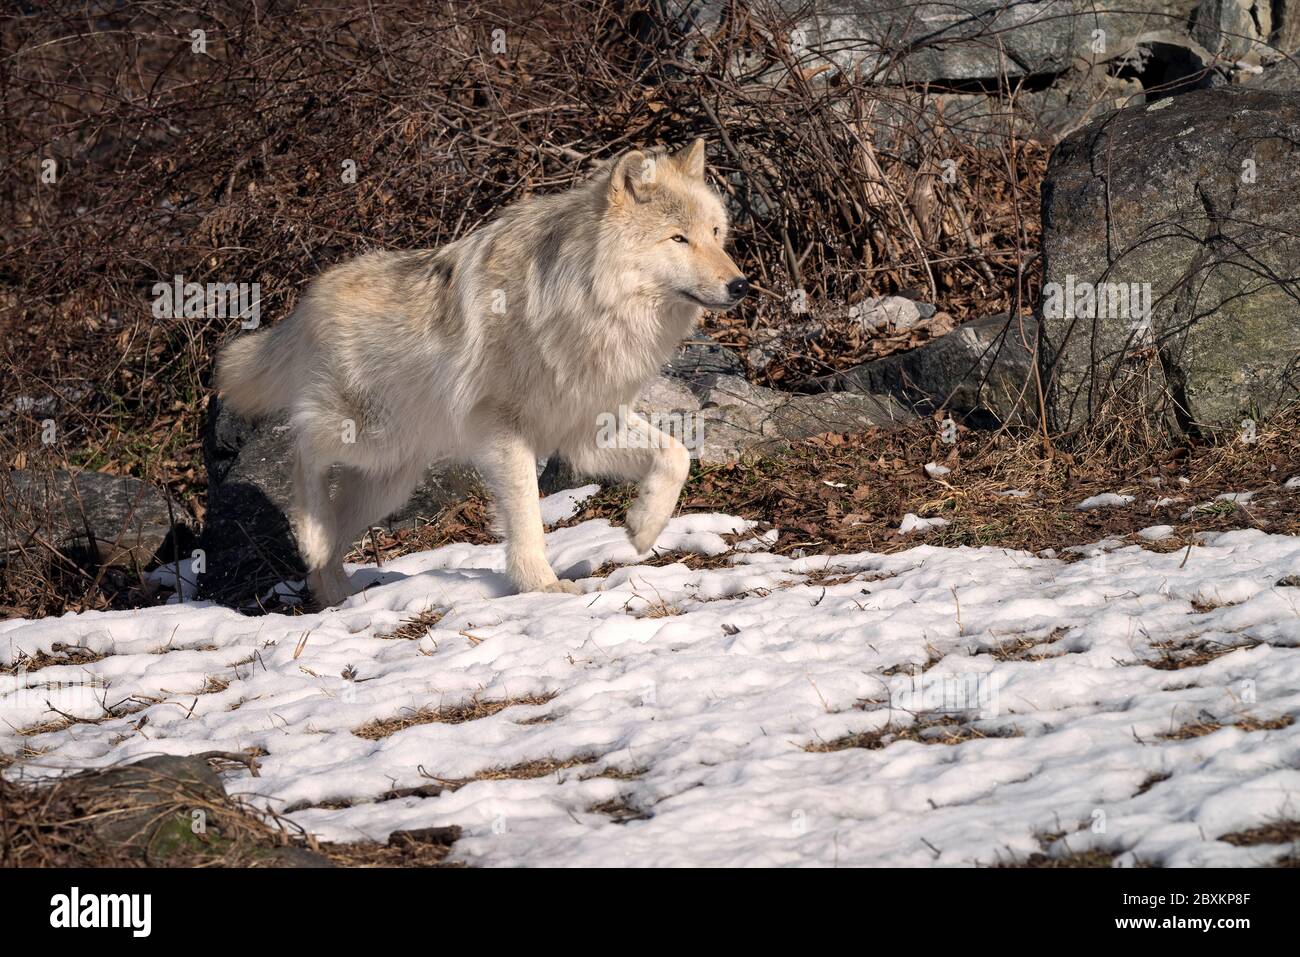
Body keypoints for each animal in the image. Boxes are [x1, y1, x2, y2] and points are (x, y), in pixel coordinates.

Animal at [215, 139, 748, 607]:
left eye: (715, 234)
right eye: (678, 239)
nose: (741, 285)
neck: (588, 305)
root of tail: (307, 299)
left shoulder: (588, 432)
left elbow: (675, 455)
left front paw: (643, 528)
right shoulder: (505, 434)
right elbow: (527, 514)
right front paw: (541, 585)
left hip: (390, 478)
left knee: (333, 531)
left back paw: (335, 595)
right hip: (369, 436)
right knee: (301, 451)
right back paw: (309, 535)